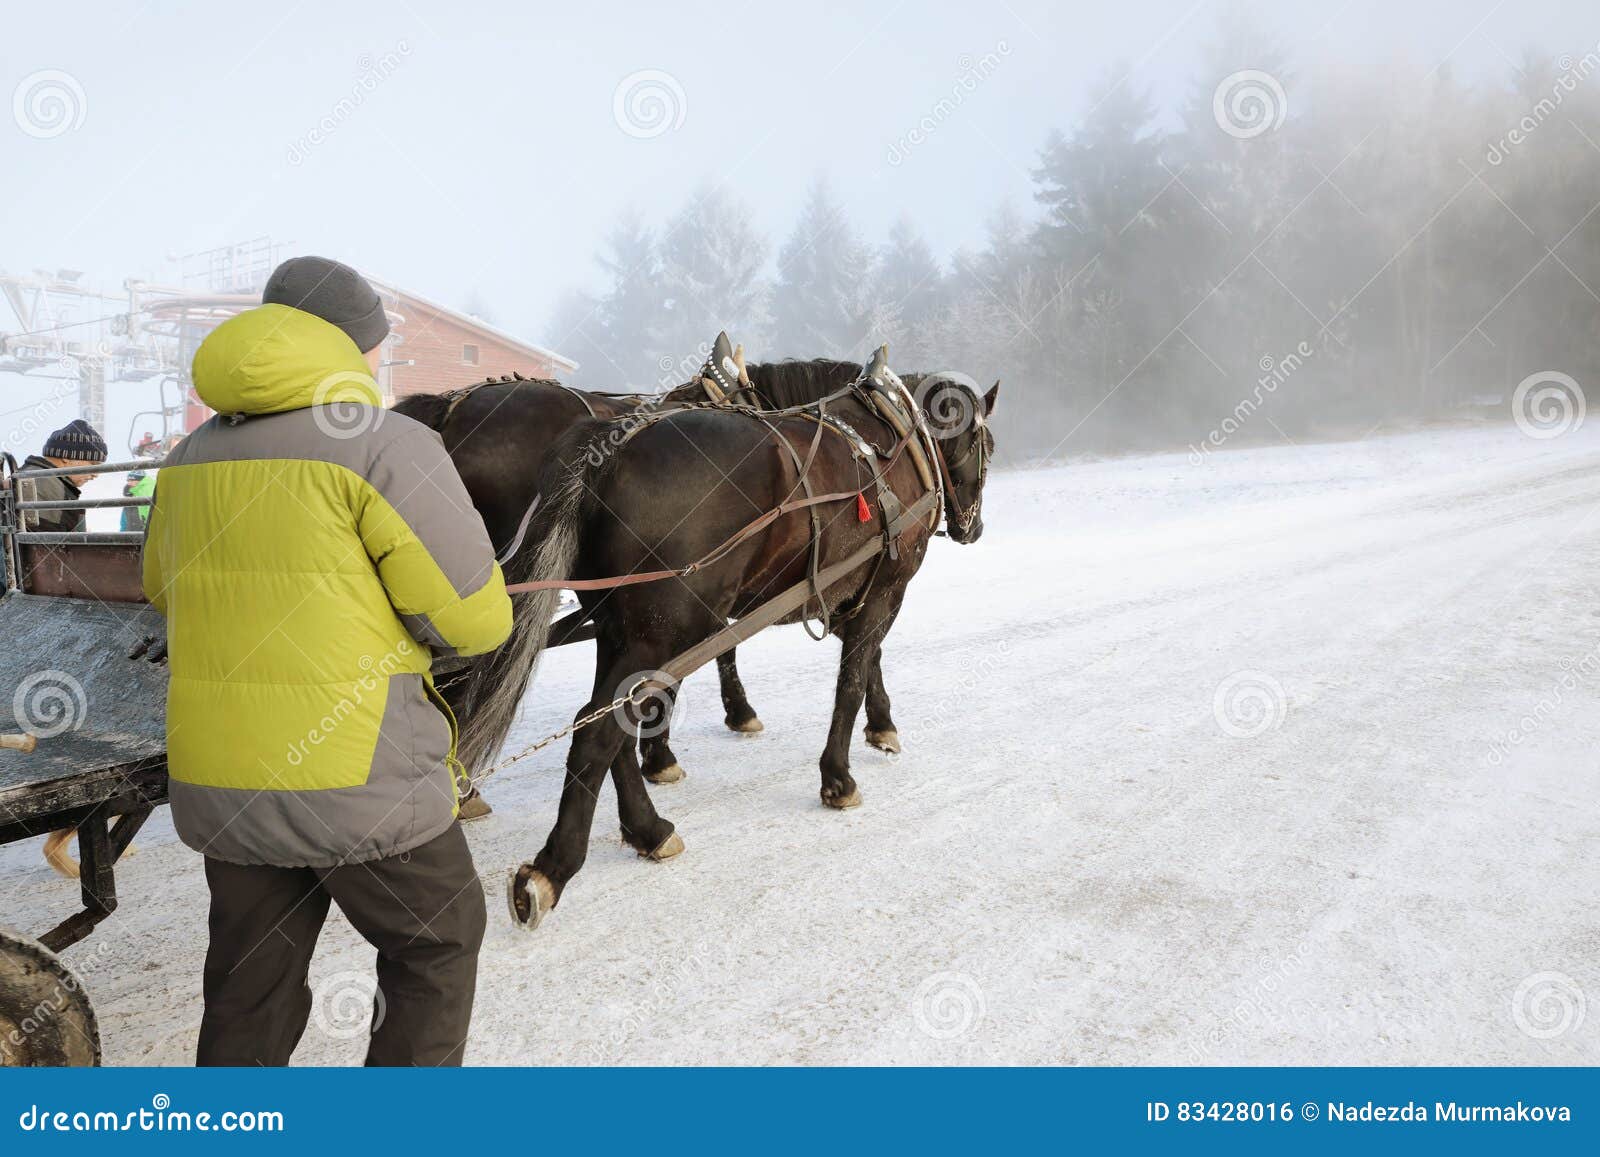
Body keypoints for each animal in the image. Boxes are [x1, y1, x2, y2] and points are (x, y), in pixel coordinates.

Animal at [447, 348, 998, 929]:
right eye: (986, 445)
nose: (972, 527)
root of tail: (608, 450)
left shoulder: (852, 589)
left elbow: (865, 662)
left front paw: (879, 726)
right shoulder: (885, 587)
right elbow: (852, 675)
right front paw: (839, 774)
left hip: (623, 627)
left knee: (604, 719)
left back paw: (647, 829)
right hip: (665, 626)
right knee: (596, 729)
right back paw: (554, 865)